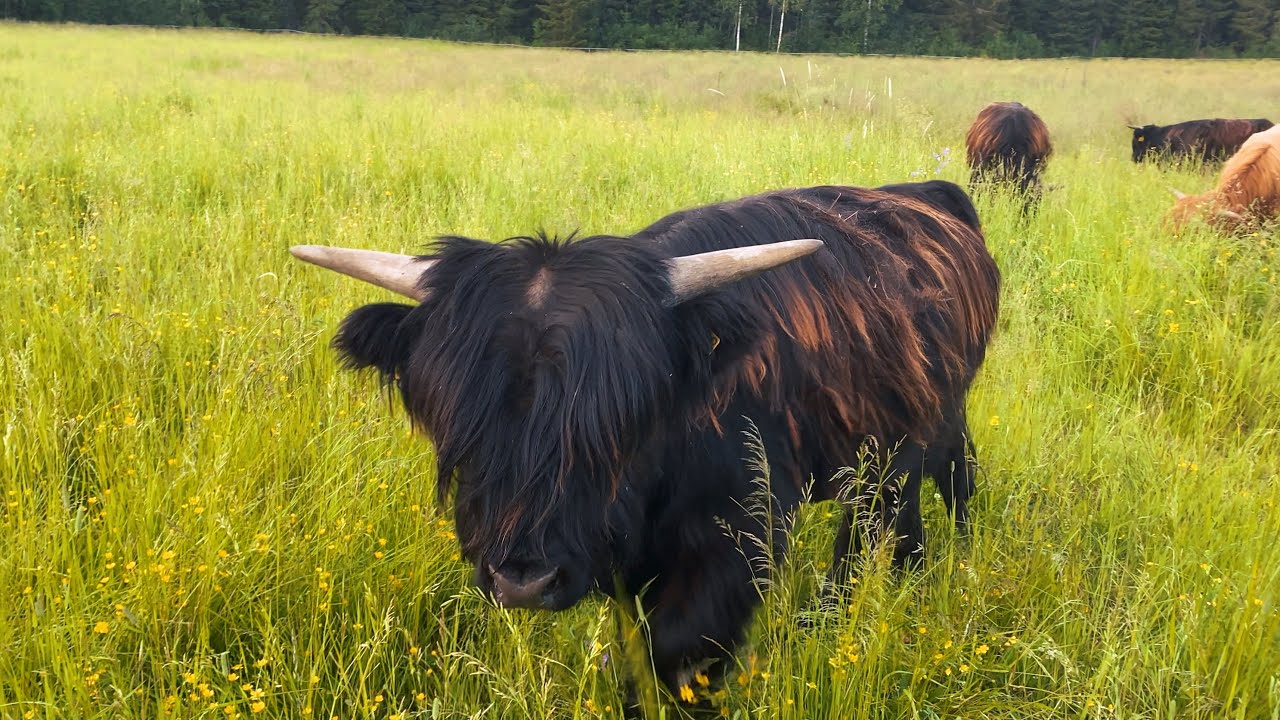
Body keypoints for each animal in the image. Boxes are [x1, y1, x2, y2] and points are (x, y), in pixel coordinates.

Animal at [290, 182, 1001, 693]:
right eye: (462, 423)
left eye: (618, 423)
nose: (524, 580)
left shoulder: (739, 541)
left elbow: (675, 654)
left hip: (935, 429)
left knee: (928, 501)